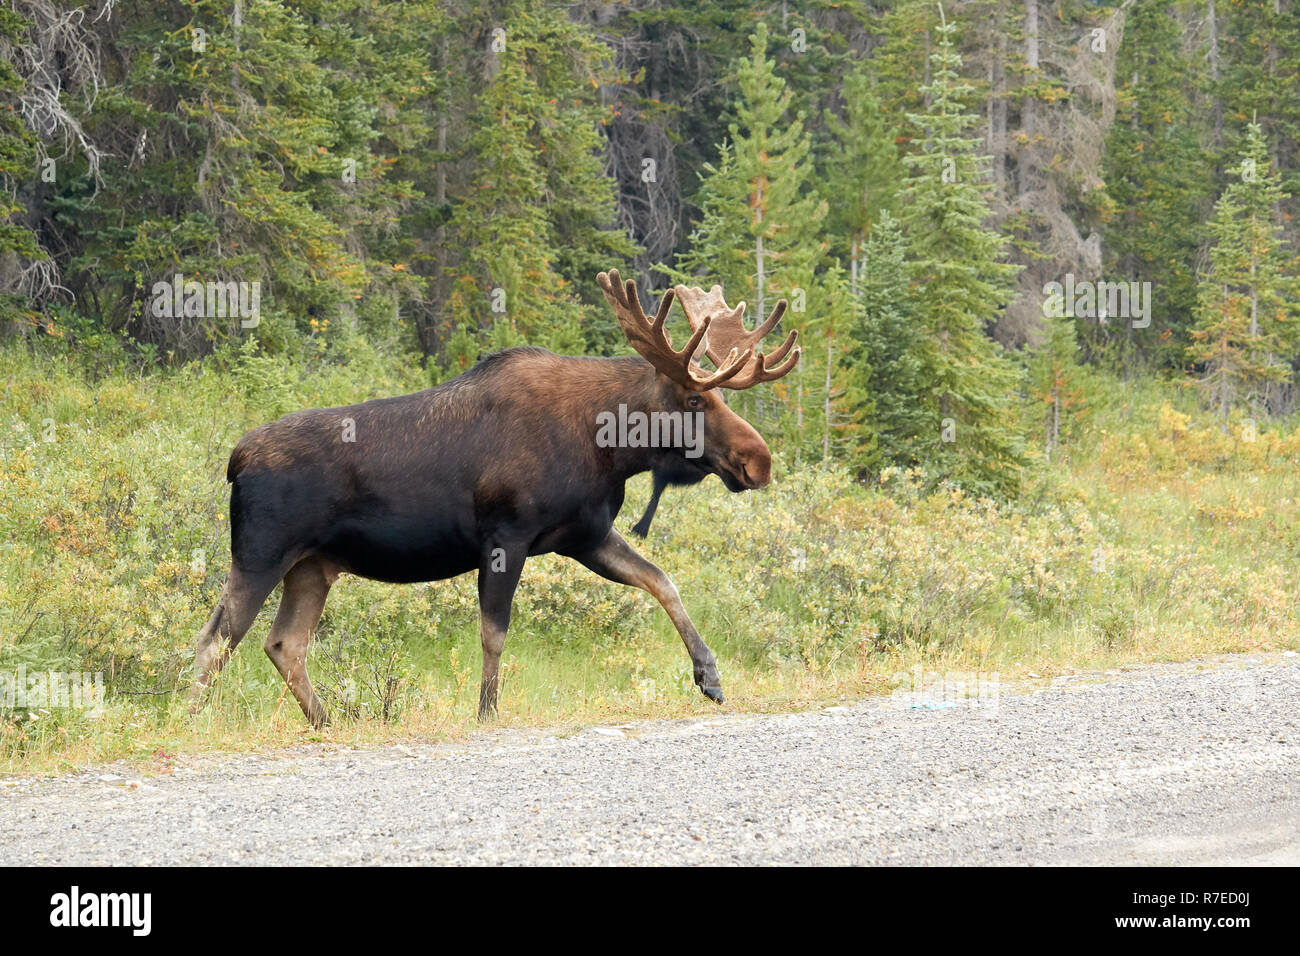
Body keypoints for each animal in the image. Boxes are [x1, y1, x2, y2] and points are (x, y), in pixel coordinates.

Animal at [191, 268, 799, 727]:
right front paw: (486, 711)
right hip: (261, 553)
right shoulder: (507, 535)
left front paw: (709, 675)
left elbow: (661, 581)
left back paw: (328, 720)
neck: (609, 448)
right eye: (695, 399)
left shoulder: (585, 536)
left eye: (720, 395)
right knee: (215, 639)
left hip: (314, 565)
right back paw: (196, 716)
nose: (759, 460)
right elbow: (493, 634)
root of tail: (235, 460)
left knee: (283, 644)